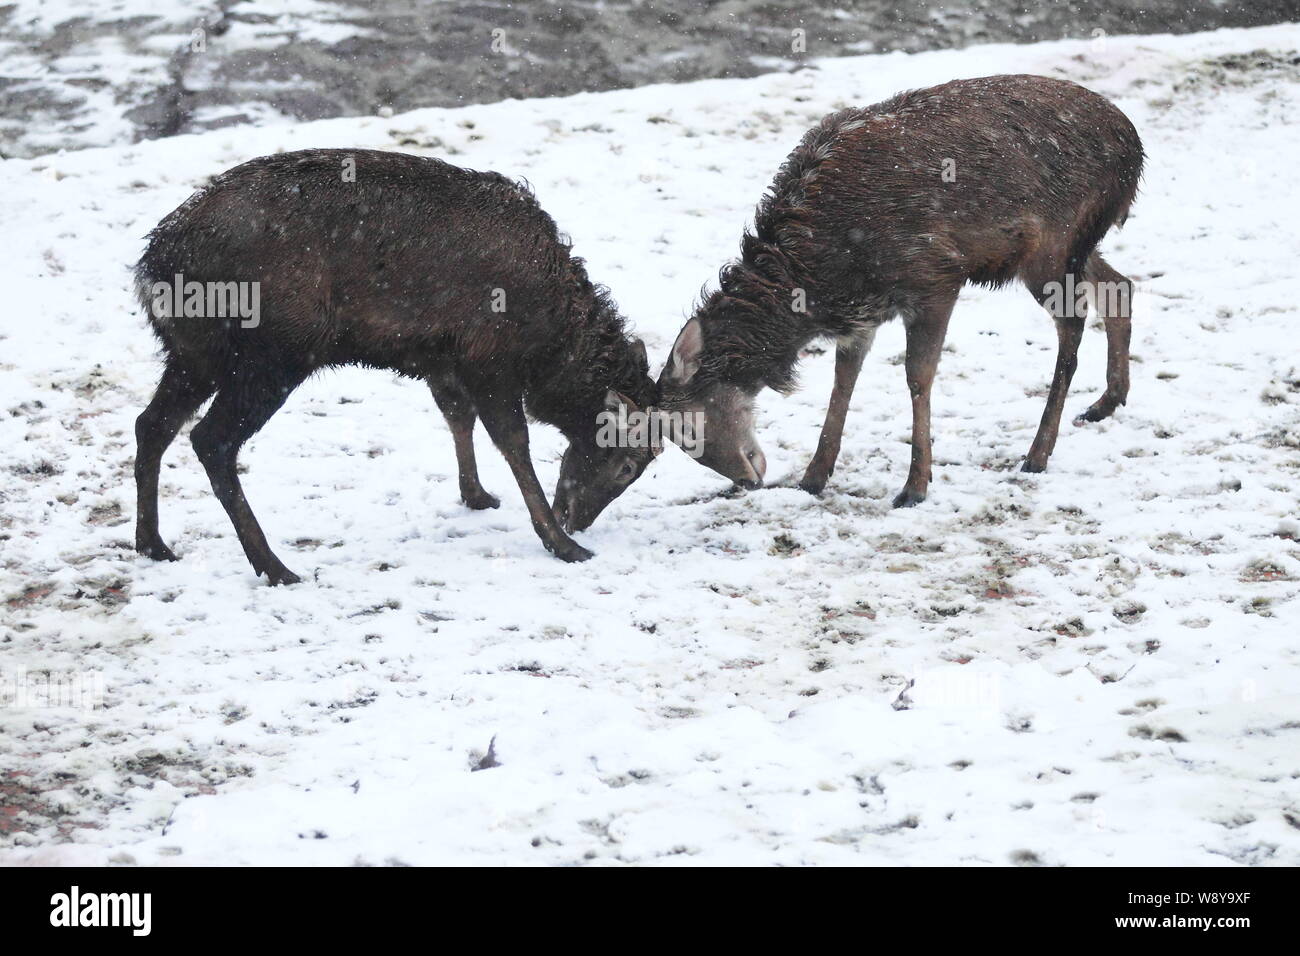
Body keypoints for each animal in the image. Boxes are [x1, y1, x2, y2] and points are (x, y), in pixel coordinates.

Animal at [133, 148, 659, 585]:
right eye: (628, 464)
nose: (576, 518)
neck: (549, 338)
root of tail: (153, 267)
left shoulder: (442, 358)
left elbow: (458, 416)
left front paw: (476, 495)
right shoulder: (489, 357)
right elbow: (514, 442)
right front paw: (560, 542)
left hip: (193, 353)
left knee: (152, 424)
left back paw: (152, 543)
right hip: (274, 353)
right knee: (211, 440)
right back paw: (274, 566)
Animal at [658, 75, 1143, 506]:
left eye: (685, 431)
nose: (747, 480)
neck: (818, 277)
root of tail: (1134, 149)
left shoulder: (935, 277)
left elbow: (917, 377)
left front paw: (915, 486)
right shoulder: (861, 313)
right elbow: (844, 380)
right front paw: (813, 477)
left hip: (1051, 246)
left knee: (1073, 323)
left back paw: (1038, 453)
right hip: (1075, 245)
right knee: (1119, 284)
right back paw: (1106, 401)